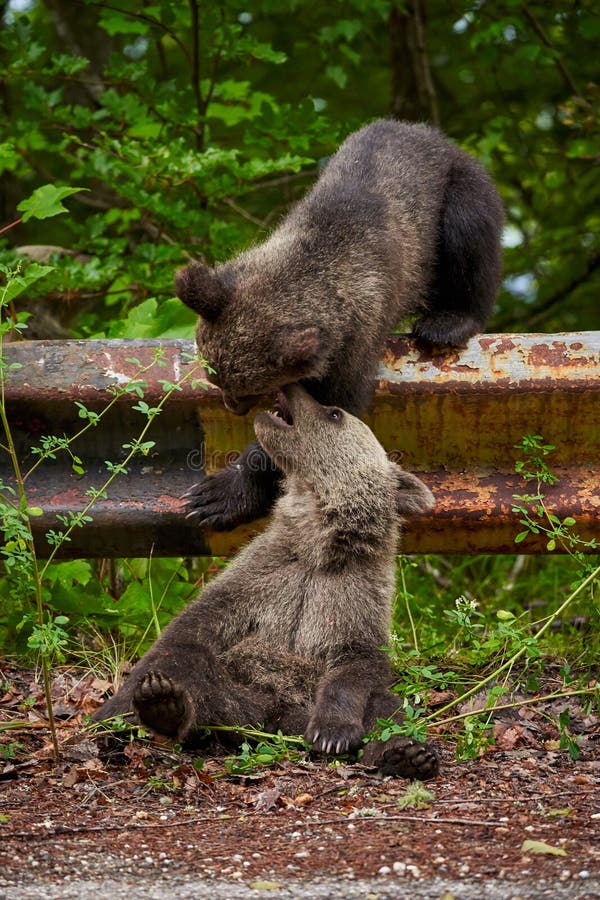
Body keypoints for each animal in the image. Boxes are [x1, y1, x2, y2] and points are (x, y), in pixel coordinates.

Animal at [93, 385, 439, 780]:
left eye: (334, 412)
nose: (293, 387)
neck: (317, 546)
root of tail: (276, 720)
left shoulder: (355, 592)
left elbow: (358, 662)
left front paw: (332, 733)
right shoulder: (264, 574)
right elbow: (190, 630)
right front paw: (120, 705)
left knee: (386, 707)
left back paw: (407, 754)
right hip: (239, 689)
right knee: (203, 680)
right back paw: (163, 704)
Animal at [176, 118, 503, 531]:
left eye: (247, 389)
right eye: (214, 376)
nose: (232, 406)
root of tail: (427, 132)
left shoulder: (357, 337)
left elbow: (325, 415)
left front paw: (221, 494)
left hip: (460, 188)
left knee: (468, 241)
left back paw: (446, 323)